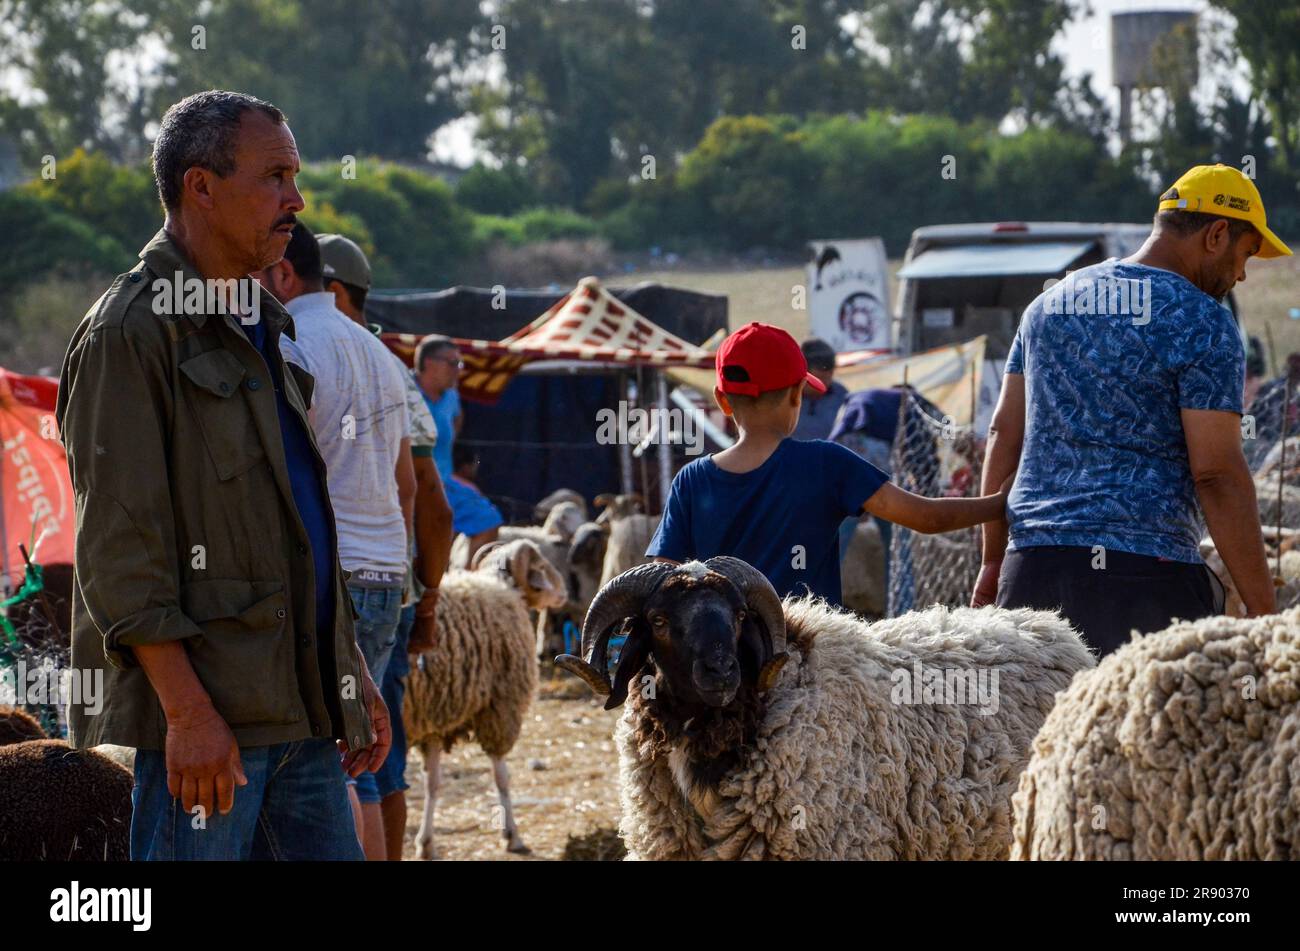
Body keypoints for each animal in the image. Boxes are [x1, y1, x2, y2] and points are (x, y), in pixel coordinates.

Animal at [404, 538, 567, 859]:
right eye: (541, 566)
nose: (565, 592)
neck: (502, 588)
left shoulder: (433, 720)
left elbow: (433, 783)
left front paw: (425, 842)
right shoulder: (500, 709)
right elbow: (501, 776)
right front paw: (512, 835)